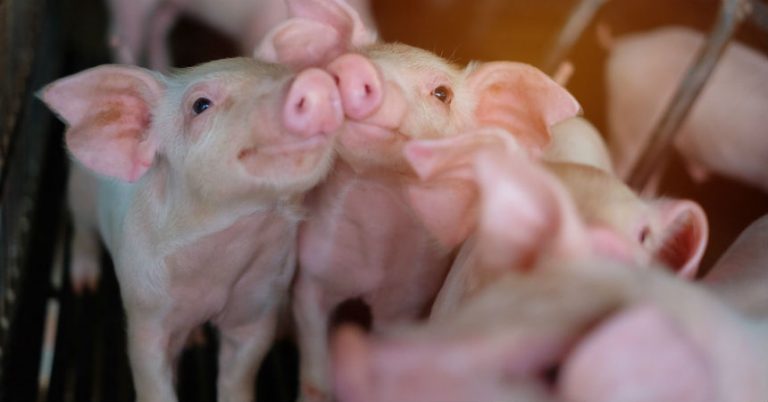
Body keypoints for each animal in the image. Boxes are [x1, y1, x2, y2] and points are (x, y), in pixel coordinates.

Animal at [40, 58, 343, 402]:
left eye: (281, 70)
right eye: (200, 105)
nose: (314, 81)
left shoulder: (258, 305)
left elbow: (240, 372)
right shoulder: (145, 309)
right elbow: (151, 377)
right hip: (78, 191)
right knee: (82, 232)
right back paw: (84, 283)